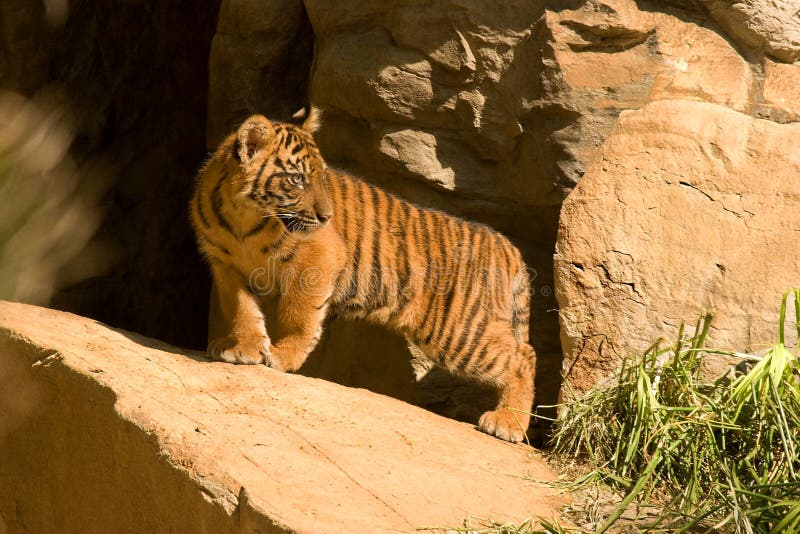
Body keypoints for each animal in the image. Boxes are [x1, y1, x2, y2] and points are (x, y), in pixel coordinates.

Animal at [189, 109, 537, 443]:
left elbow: (298, 314)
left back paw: (507, 424)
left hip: (458, 330)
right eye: (297, 179)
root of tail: (508, 246)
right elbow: (241, 309)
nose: (326, 216)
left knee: (523, 356)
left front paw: (282, 355)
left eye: (321, 177)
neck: (243, 217)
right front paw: (244, 348)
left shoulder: (318, 257)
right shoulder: (225, 265)